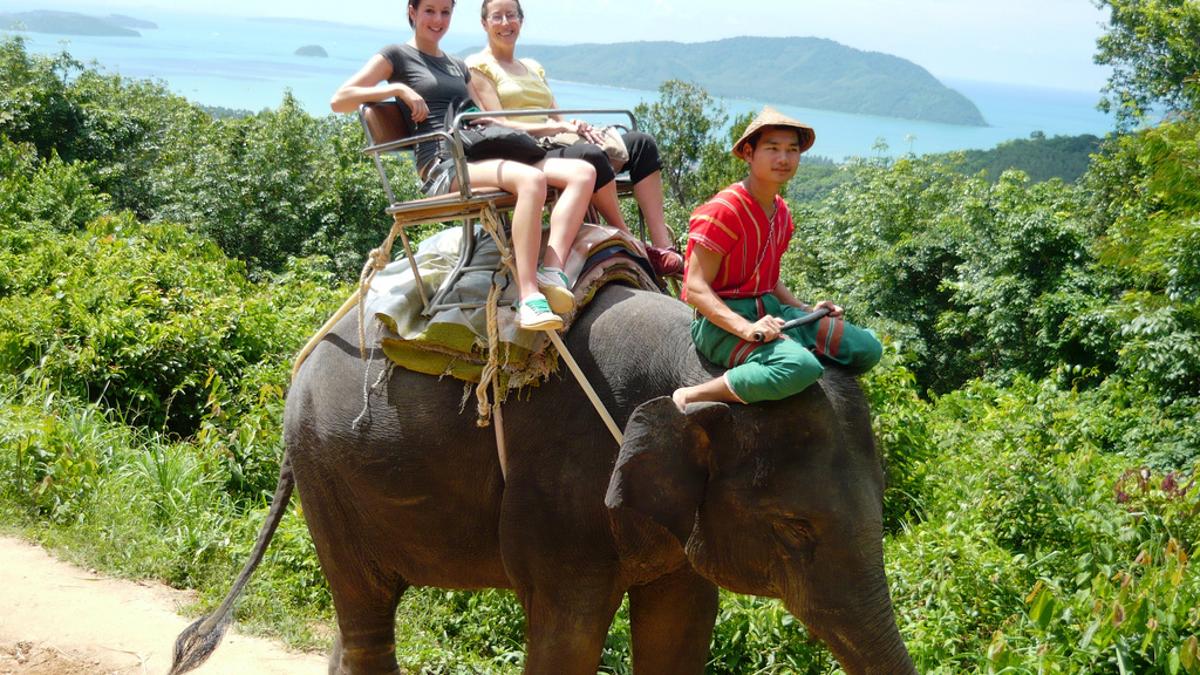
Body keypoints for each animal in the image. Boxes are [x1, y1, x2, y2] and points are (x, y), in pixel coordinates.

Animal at [169, 284, 915, 674]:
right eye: (795, 527)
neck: (699, 365)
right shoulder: (557, 491)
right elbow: (570, 633)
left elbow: (680, 627)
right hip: (326, 471)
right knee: (365, 606)